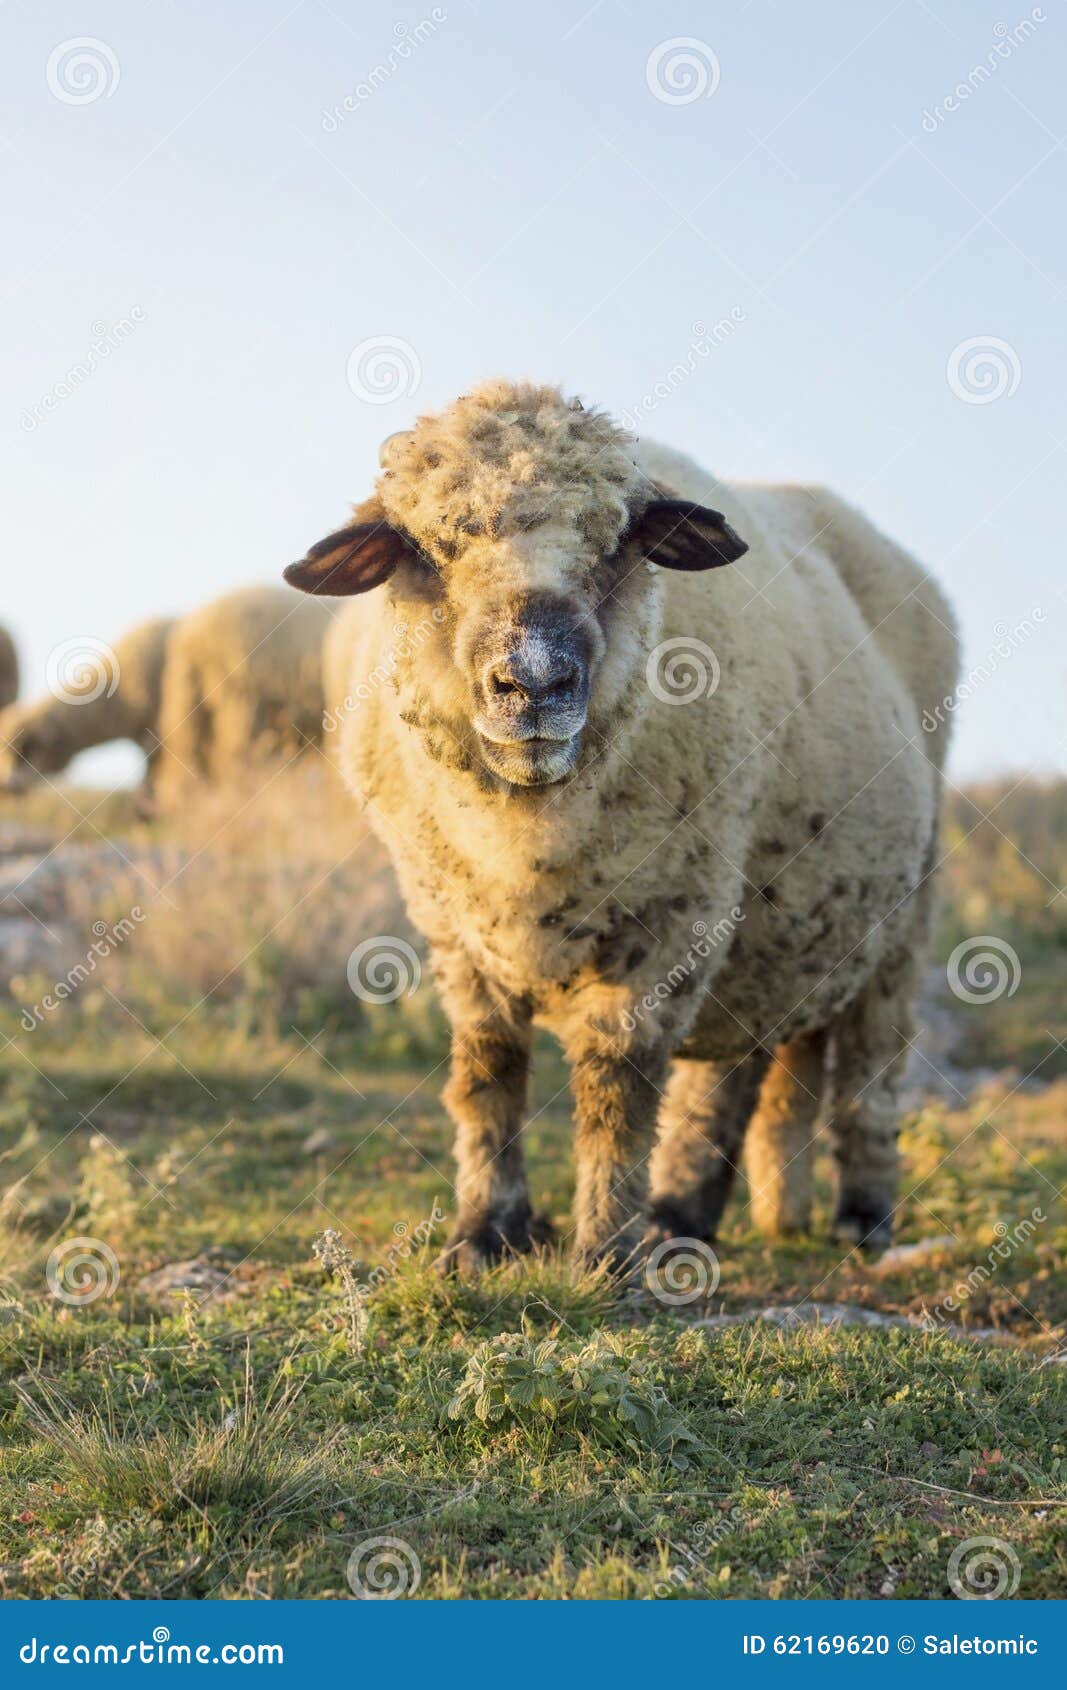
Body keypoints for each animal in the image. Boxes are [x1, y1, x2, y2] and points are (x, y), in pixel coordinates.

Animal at [285, 379, 959, 1272]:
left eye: (617, 546)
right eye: (425, 550)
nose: (533, 683)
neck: (526, 837)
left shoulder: (668, 919)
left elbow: (617, 1087)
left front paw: (604, 1254)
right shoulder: (452, 927)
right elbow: (488, 1072)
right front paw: (484, 1233)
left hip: (900, 911)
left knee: (869, 1064)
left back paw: (859, 1217)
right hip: (775, 919)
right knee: (742, 1066)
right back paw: (689, 1214)